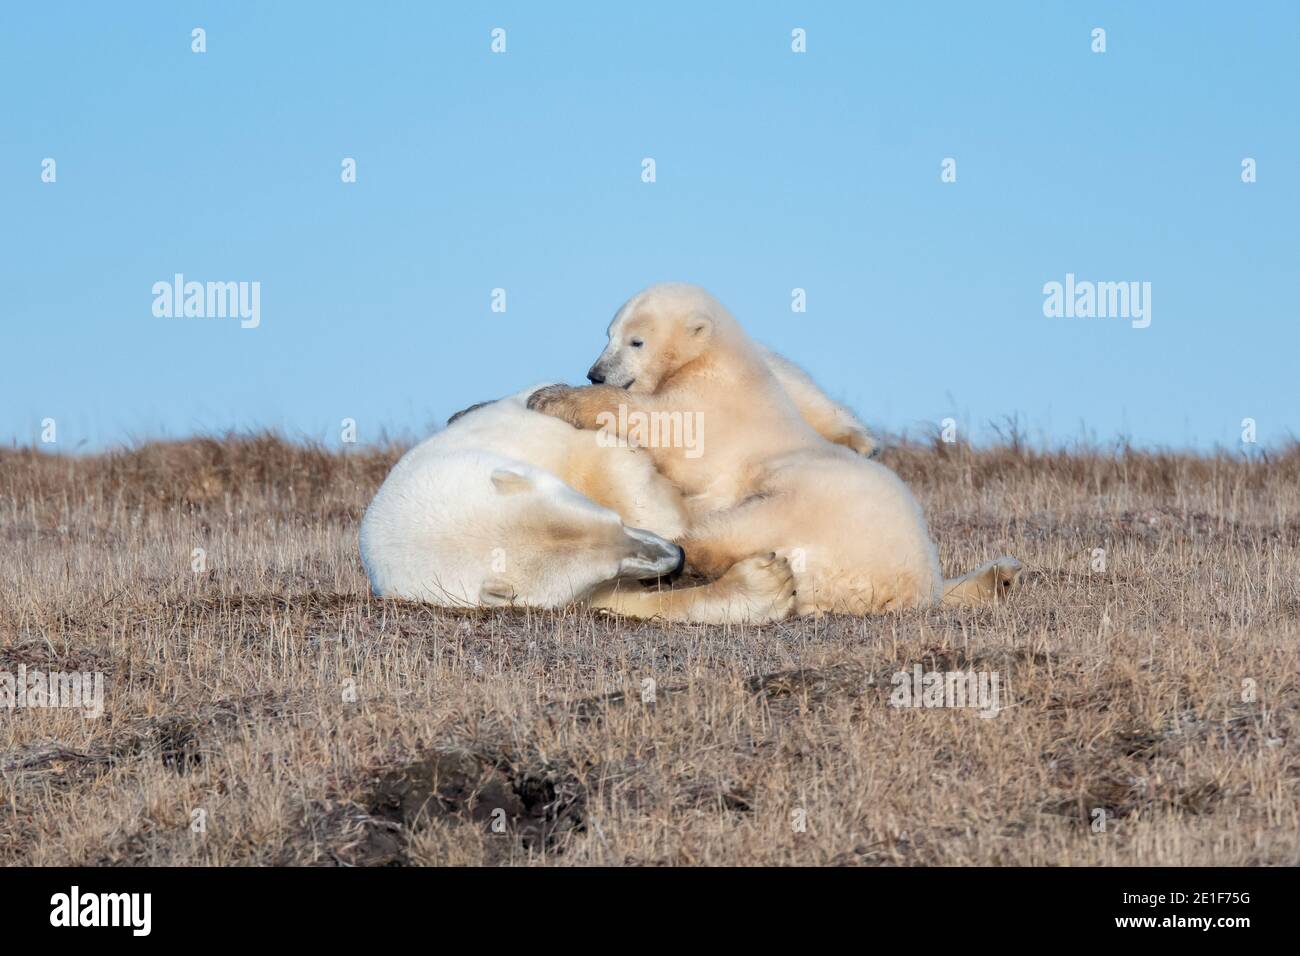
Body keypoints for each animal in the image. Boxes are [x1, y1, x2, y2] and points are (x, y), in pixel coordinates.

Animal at [359, 386, 797, 623]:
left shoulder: (519, 436)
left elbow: (602, 455)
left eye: (614, 521)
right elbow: (625, 603)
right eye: (606, 568)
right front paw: (767, 584)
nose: (677, 559)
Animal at [527, 282, 1022, 615]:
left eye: (636, 340)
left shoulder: (714, 401)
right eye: (608, 334)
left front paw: (551, 397)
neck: (720, 359)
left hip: (818, 501)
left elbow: (665, 426)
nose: (595, 373)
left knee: (746, 525)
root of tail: (915, 584)